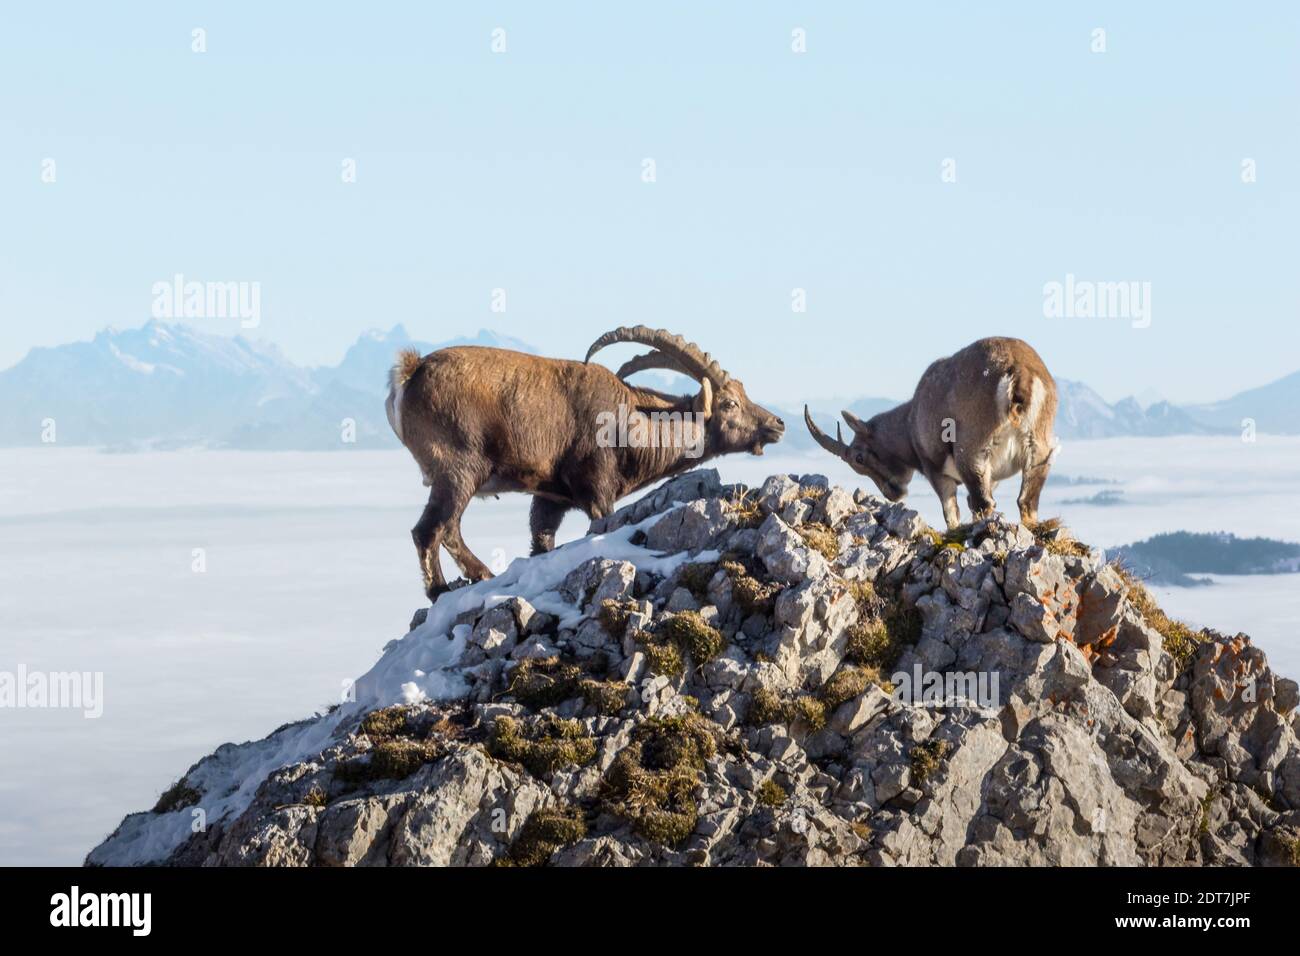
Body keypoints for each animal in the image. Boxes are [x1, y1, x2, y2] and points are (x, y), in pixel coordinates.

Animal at [387, 326, 785, 599]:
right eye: (730, 403)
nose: (777, 423)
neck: (632, 420)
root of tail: (411, 371)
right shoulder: (597, 490)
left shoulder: (549, 497)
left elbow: (541, 540)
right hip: (460, 469)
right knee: (431, 530)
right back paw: (451, 586)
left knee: (445, 529)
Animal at [804, 337, 1059, 530]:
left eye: (859, 457)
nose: (892, 494)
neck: (910, 422)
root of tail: (1019, 373)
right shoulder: (992, 477)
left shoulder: (935, 469)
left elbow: (951, 514)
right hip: (1038, 446)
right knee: (1025, 501)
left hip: (972, 450)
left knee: (984, 503)